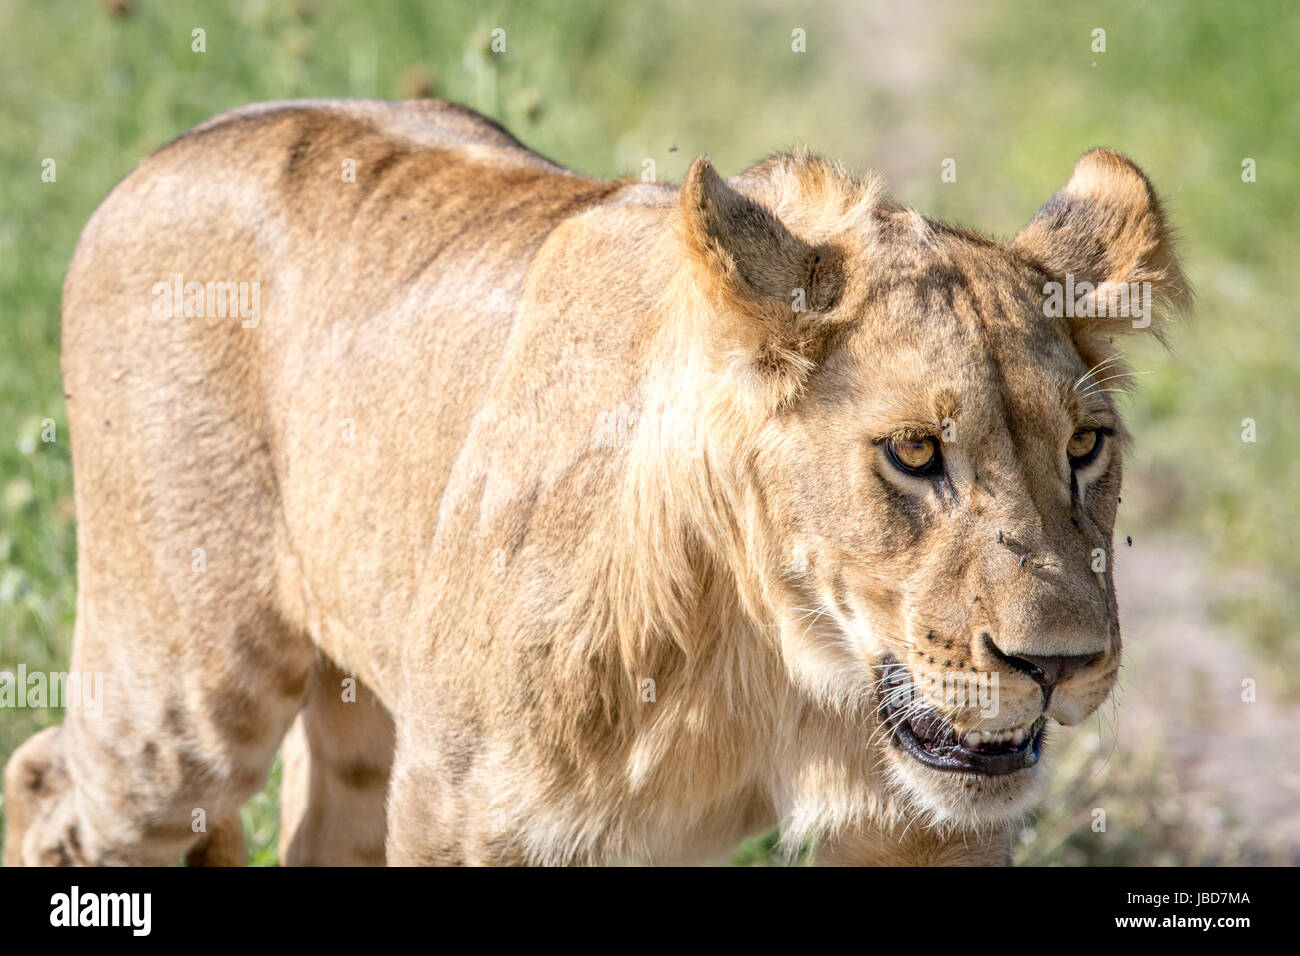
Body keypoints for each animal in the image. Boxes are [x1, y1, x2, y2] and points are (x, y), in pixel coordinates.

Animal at [3, 99, 1189, 866]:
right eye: (911, 453)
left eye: (1084, 447)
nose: (1060, 665)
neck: (780, 654)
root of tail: (177, 146)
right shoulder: (461, 809)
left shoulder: (922, 828)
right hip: (182, 691)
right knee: (47, 776)